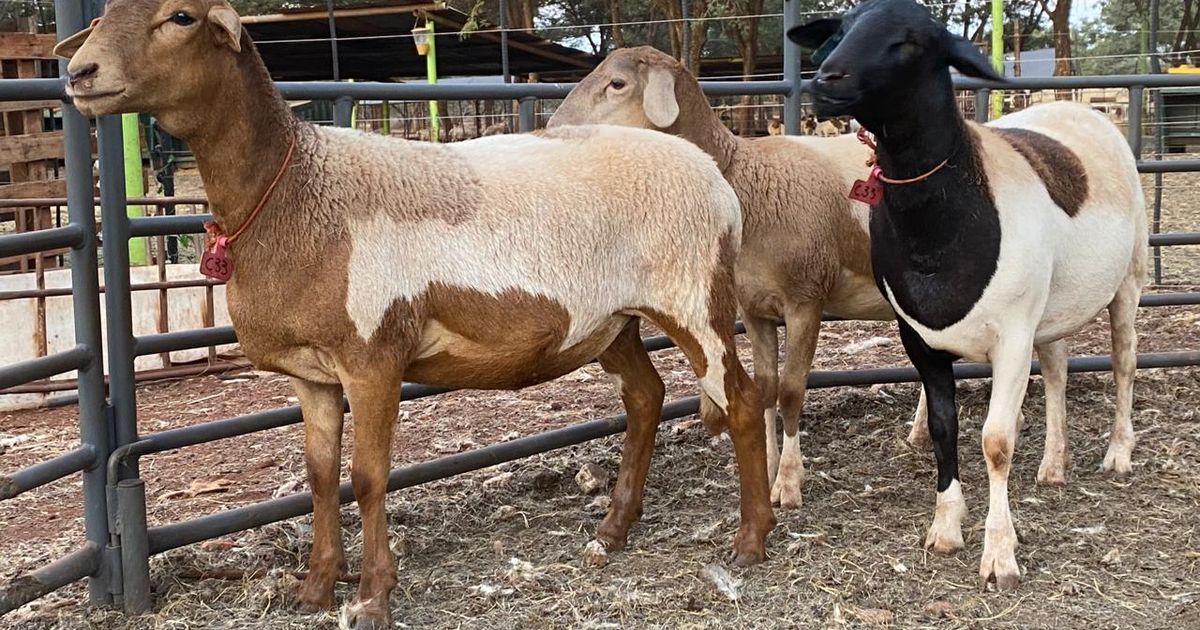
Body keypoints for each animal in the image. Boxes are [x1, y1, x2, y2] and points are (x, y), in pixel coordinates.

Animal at [56, 2, 775, 626]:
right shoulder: (313, 375)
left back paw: (752, 539)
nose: (79, 74)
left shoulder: (373, 357)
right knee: (646, 397)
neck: (292, 189)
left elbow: (369, 478)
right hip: (609, 319)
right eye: (101, 15)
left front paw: (374, 596)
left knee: (741, 399)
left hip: (694, 297)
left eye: (180, 16)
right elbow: (321, 478)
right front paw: (314, 589)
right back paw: (614, 529)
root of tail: (712, 175)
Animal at [549, 47, 897, 511]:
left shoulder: (805, 301)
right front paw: (767, 468)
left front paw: (789, 482)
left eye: (617, 83)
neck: (744, 184)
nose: (554, 129)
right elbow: (766, 388)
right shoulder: (754, 309)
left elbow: (790, 391)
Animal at [790, 0, 1146, 589]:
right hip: (1052, 306)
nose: (825, 82)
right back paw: (1053, 464)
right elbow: (942, 429)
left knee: (1123, 361)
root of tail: (1074, 107)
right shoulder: (918, 338)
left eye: (912, 40)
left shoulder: (1012, 336)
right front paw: (945, 529)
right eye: (839, 31)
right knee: (1056, 370)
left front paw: (999, 554)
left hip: (1129, 278)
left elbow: (996, 441)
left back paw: (1118, 452)